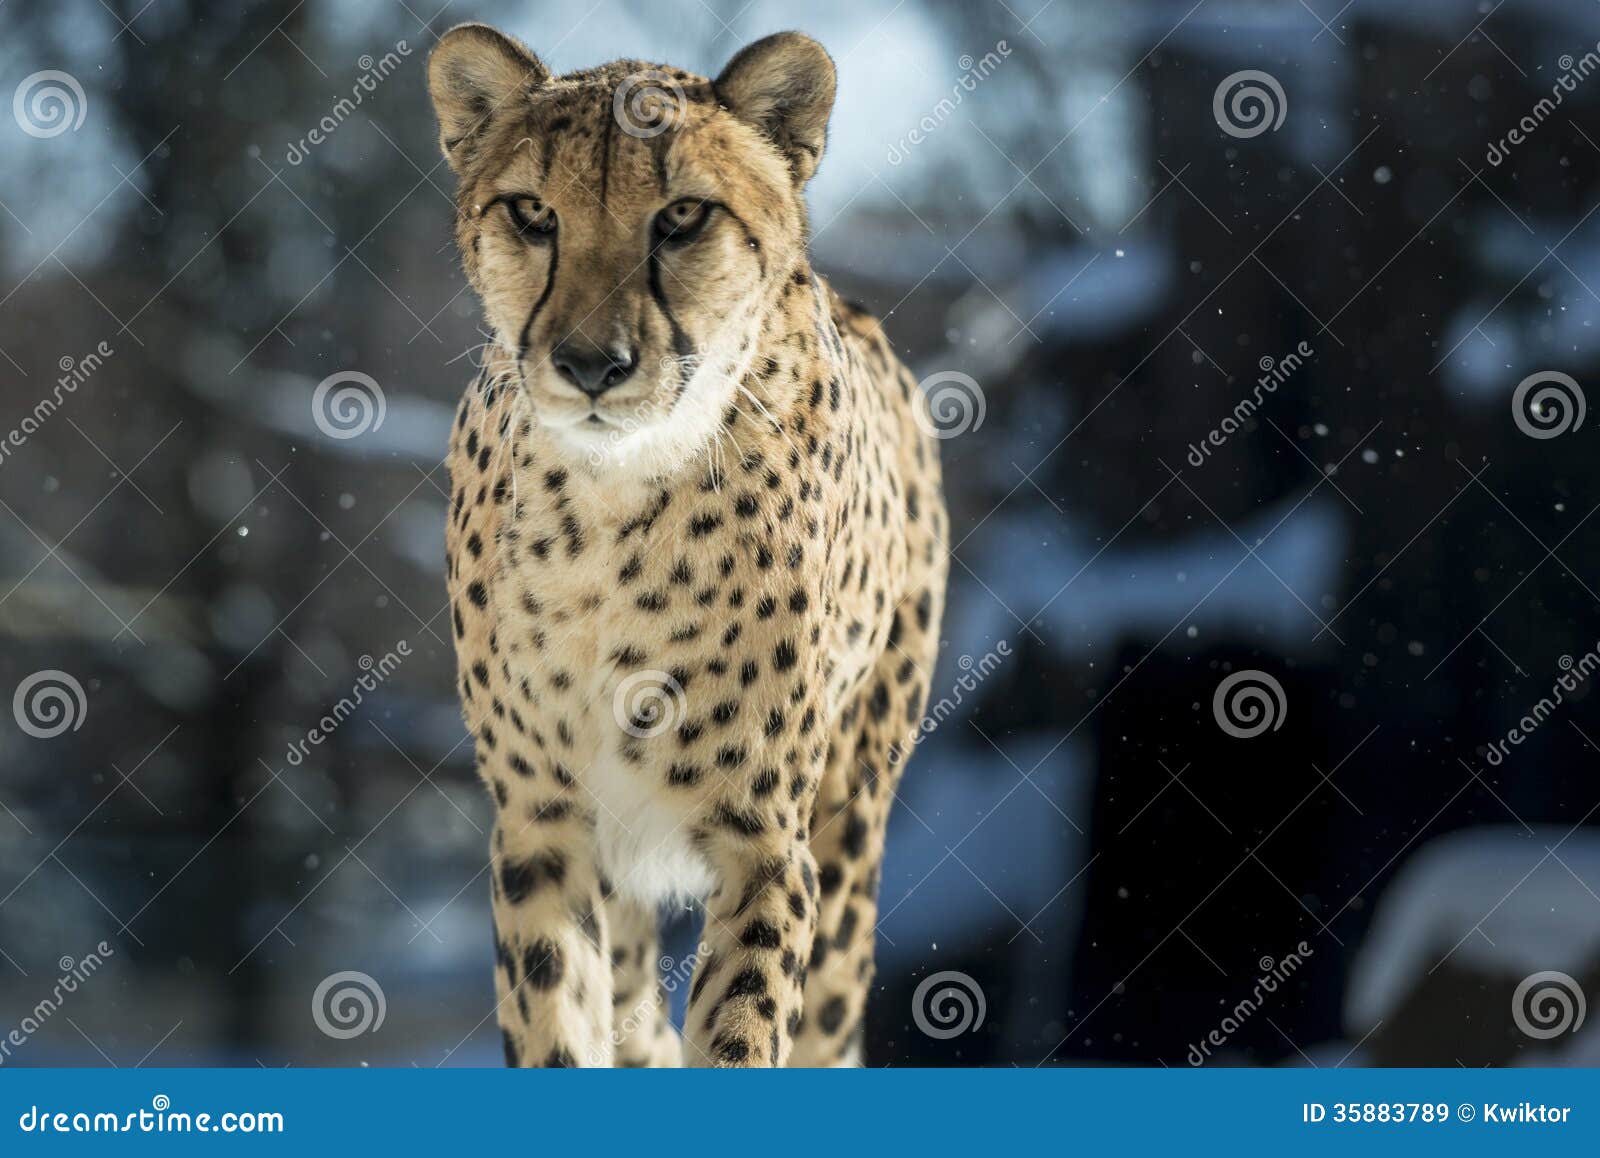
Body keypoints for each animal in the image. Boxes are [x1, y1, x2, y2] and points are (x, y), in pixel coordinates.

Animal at [428, 23, 948, 1067]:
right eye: (532, 213)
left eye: (681, 218)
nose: (591, 364)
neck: (606, 500)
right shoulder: (540, 825)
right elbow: (557, 1020)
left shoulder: (766, 842)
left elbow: (745, 1029)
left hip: (853, 823)